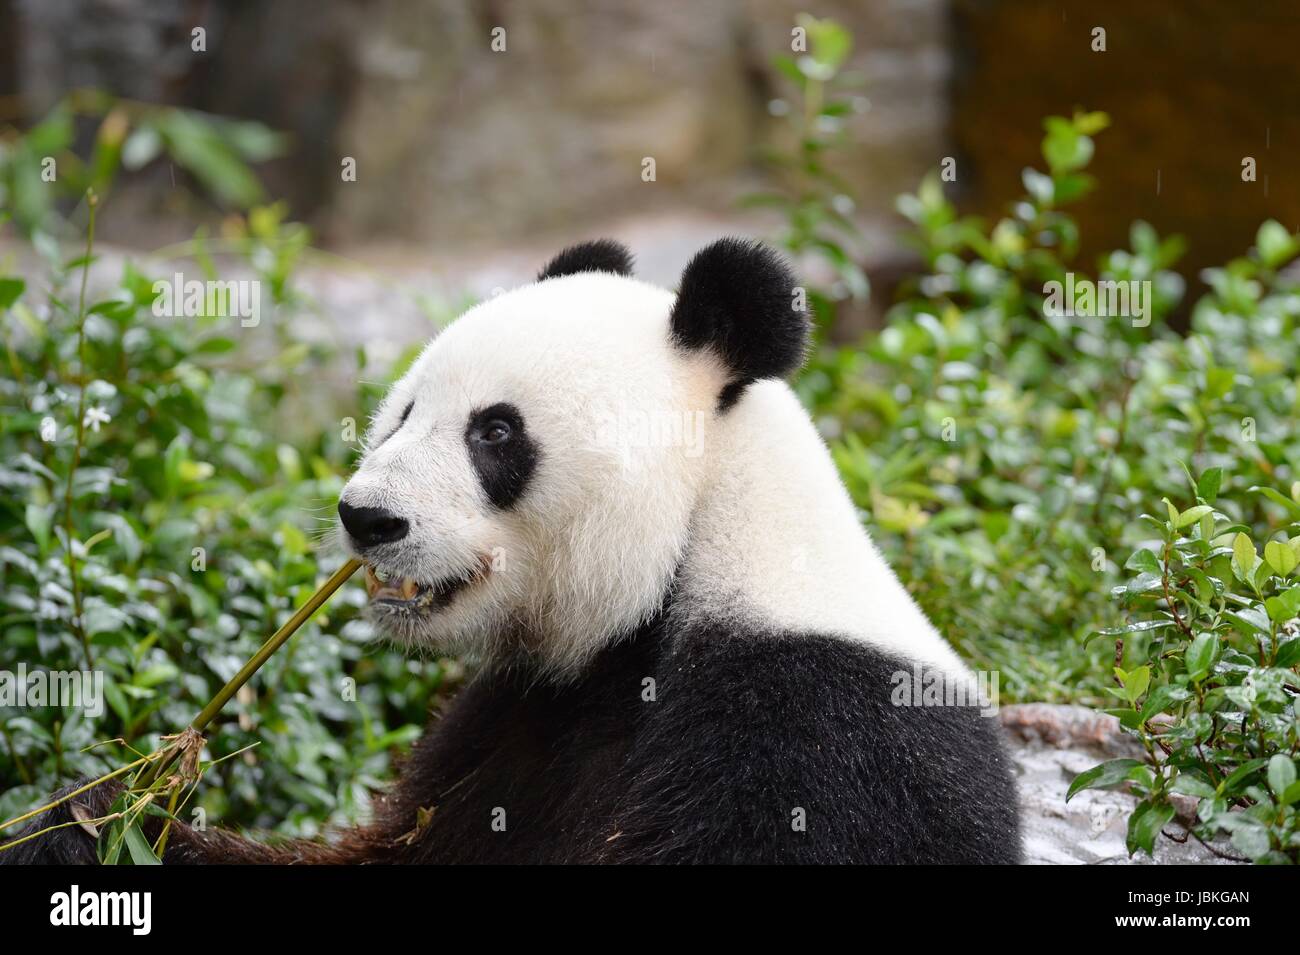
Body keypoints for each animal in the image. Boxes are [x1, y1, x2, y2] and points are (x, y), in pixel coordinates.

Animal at [5, 238, 1021, 864]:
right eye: (406, 410)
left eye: (496, 432)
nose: (368, 518)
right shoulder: (518, 720)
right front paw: (86, 819)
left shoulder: (816, 734)